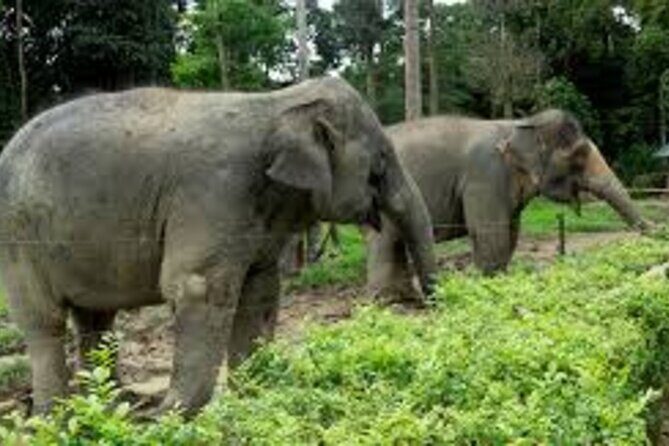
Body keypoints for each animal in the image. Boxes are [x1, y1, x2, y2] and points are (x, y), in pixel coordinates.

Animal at [0, 77, 437, 416]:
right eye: (380, 163)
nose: (428, 305)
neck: (277, 104)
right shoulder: (212, 194)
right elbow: (198, 288)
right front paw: (172, 418)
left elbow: (260, 292)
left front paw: (255, 396)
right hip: (19, 240)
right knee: (45, 322)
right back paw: (55, 416)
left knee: (96, 321)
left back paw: (110, 406)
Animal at [367, 109, 647, 300]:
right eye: (578, 157)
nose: (651, 237)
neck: (520, 124)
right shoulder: (485, 175)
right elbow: (491, 233)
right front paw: (488, 288)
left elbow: (511, 232)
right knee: (386, 240)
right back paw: (392, 301)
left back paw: (403, 299)